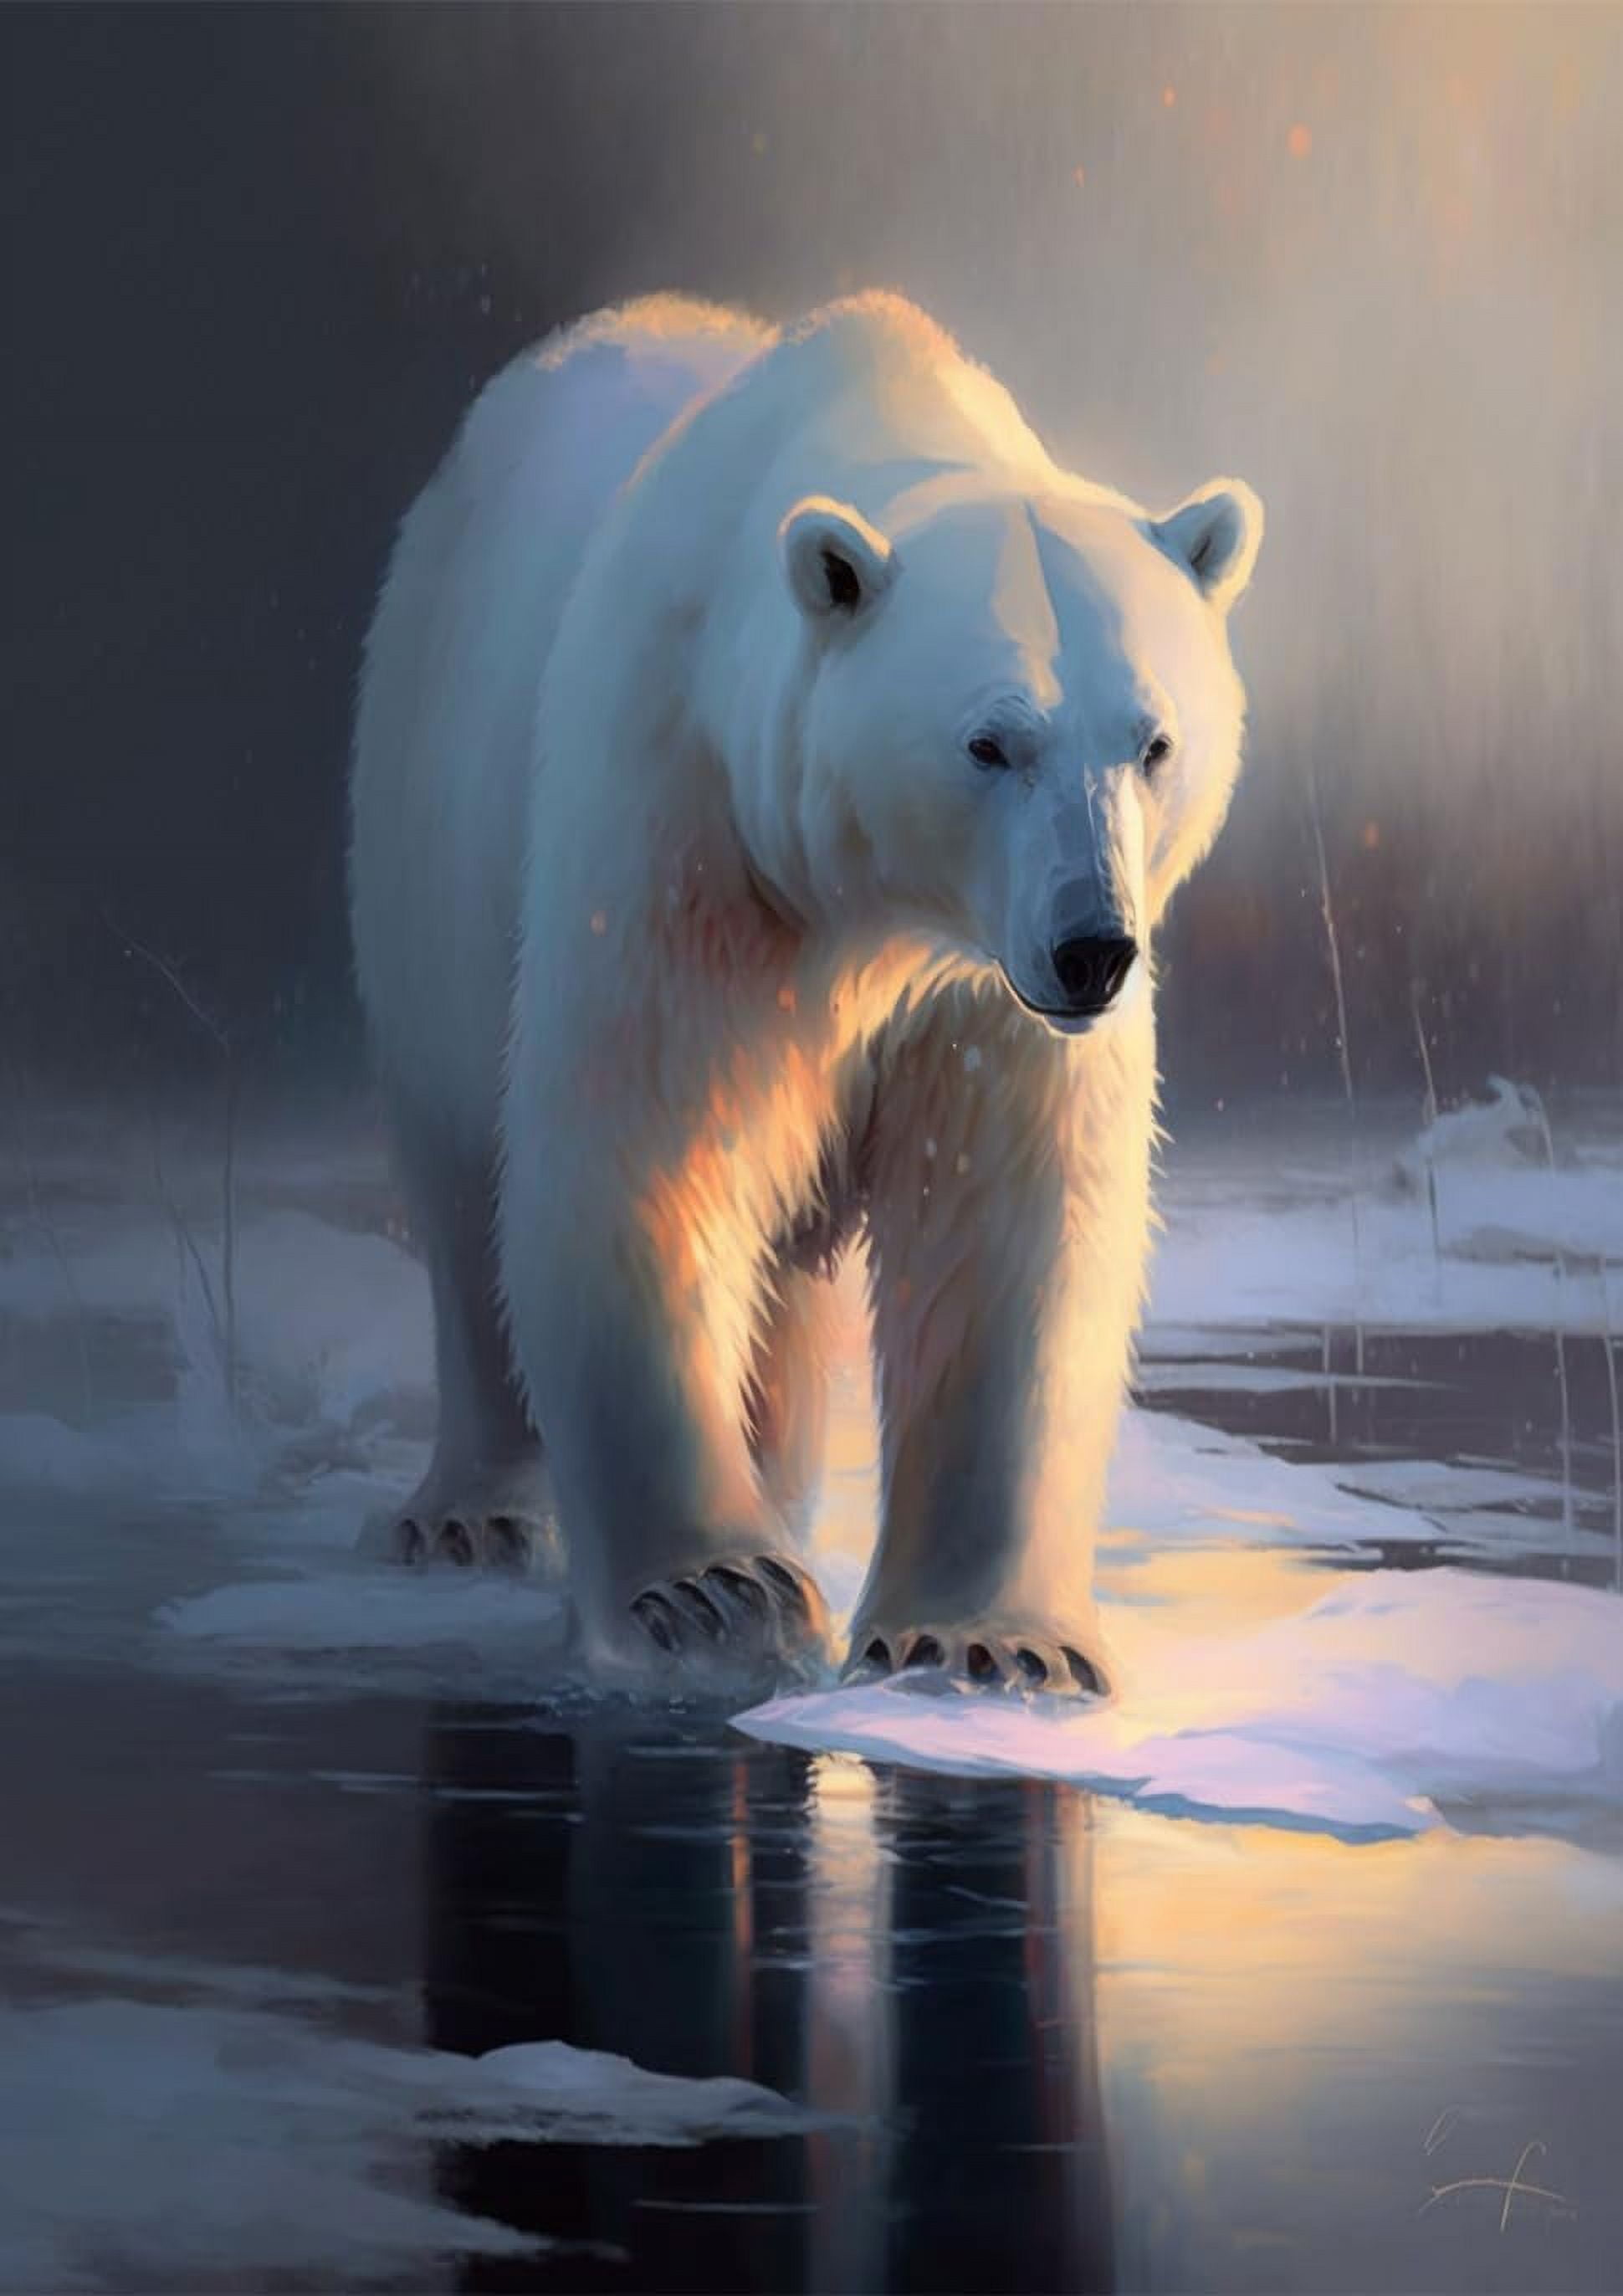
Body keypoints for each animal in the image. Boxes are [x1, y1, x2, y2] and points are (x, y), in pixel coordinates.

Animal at [349, 291, 1261, 1694]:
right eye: (990, 742)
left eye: (1152, 742)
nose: (1092, 950)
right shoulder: (681, 827)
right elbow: (641, 1153)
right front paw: (712, 1592)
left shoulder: (976, 992)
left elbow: (1011, 1227)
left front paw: (987, 1644)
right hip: (430, 816)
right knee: (460, 1169)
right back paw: (476, 1514)